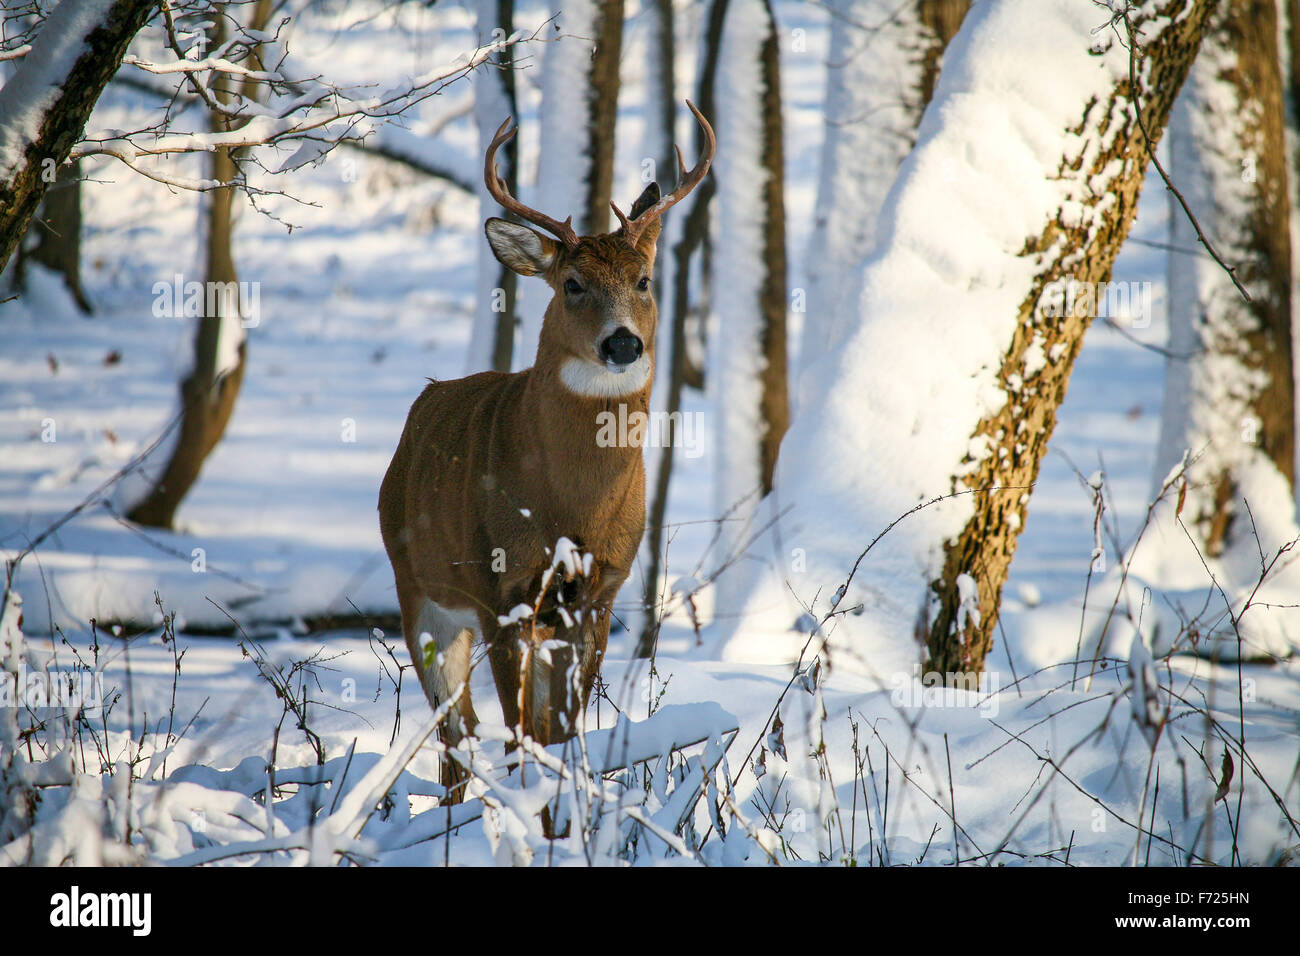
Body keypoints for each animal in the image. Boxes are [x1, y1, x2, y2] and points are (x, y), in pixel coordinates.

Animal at [378, 101, 715, 803]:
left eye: (645, 280)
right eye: (572, 284)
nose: (622, 343)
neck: (570, 504)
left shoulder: (600, 591)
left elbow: (561, 731)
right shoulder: (499, 589)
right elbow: (520, 735)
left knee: (471, 730)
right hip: (419, 588)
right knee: (456, 732)